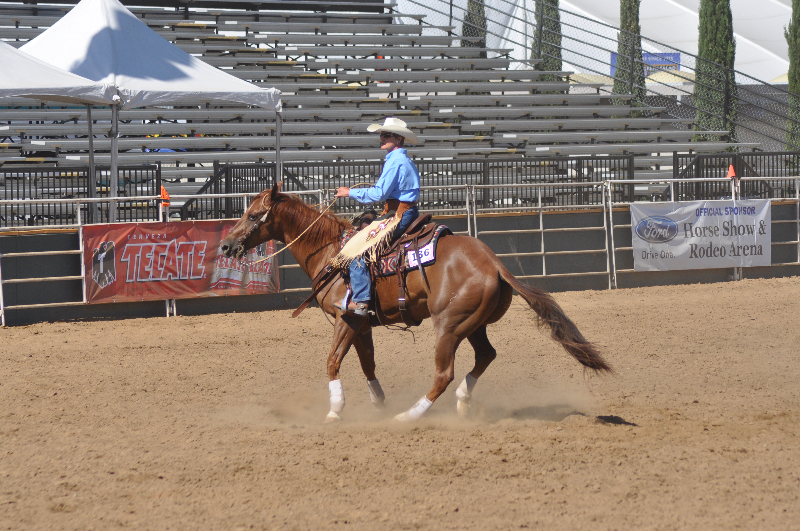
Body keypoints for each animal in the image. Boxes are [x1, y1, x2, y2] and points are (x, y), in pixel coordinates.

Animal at [220, 182, 611, 423]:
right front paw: (377, 403)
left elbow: (332, 361)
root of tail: (494, 263)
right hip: (472, 323)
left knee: (444, 374)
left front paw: (335, 411)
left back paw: (409, 416)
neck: (333, 252)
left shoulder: (346, 319)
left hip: (449, 326)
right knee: (486, 355)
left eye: (253, 215)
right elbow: (367, 364)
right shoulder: (361, 323)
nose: (225, 245)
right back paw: (463, 401)